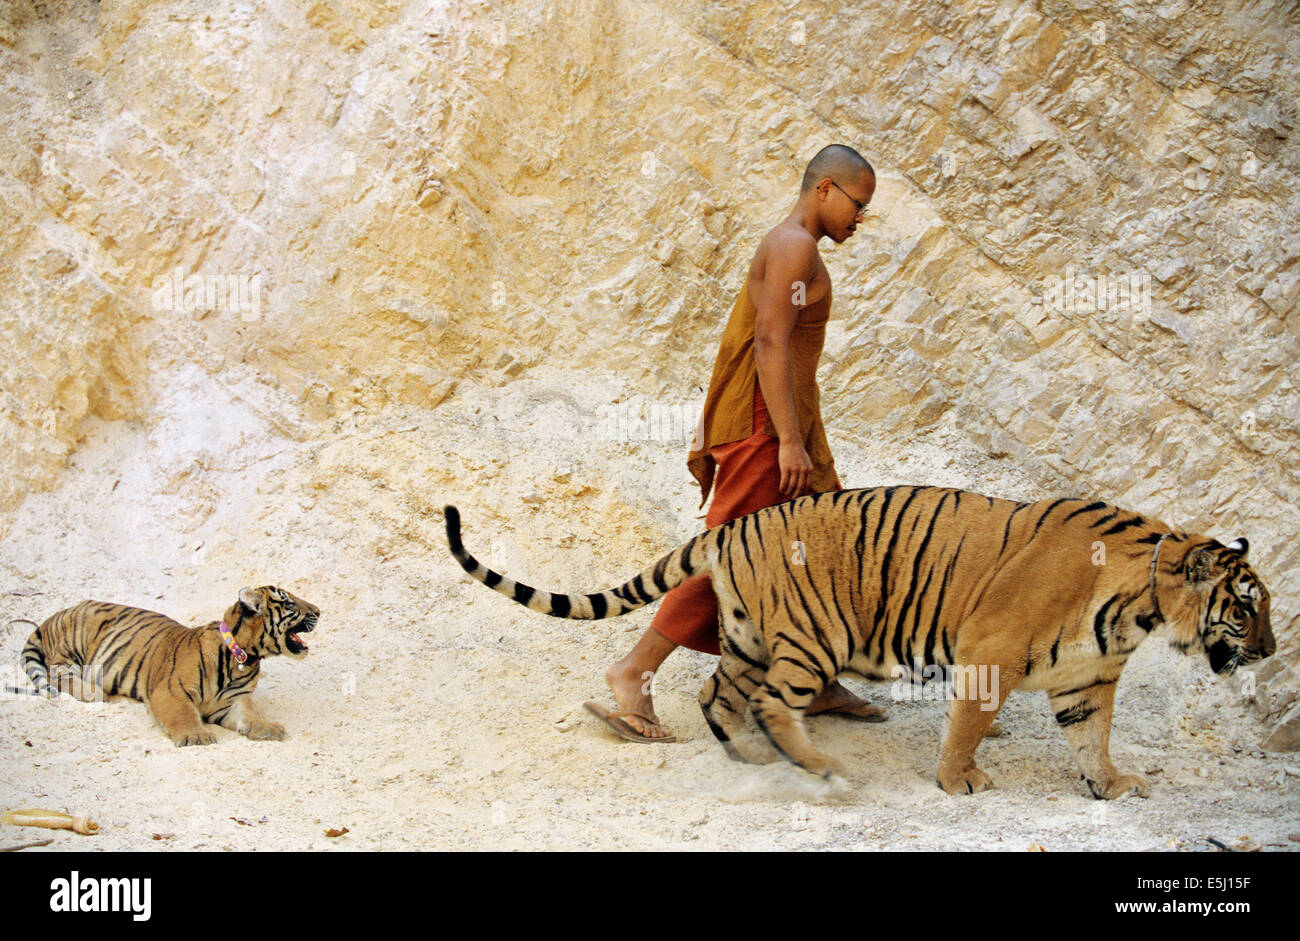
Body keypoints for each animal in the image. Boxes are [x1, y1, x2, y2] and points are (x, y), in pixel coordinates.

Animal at [9, 586, 319, 747]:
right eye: (288, 603)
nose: (318, 610)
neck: (243, 658)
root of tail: (57, 614)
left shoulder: (233, 703)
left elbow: (250, 717)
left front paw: (268, 728)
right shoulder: (169, 691)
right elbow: (182, 714)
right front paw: (195, 735)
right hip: (76, 641)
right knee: (57, 672)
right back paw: (92, 692)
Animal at [444, 486, 1275, 798]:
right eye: (1246, 608)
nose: (1269, 651)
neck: (1142, 608)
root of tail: (733, 524)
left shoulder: (1086, 680)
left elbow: (1091, 738)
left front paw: (1111, 784)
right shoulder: (992, 652)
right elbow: (968, 724)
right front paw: (959, 780)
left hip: (749, 636)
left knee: (720, 693)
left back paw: (749, 757)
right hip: (815, 634)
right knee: (774, 702)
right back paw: (819, 765)